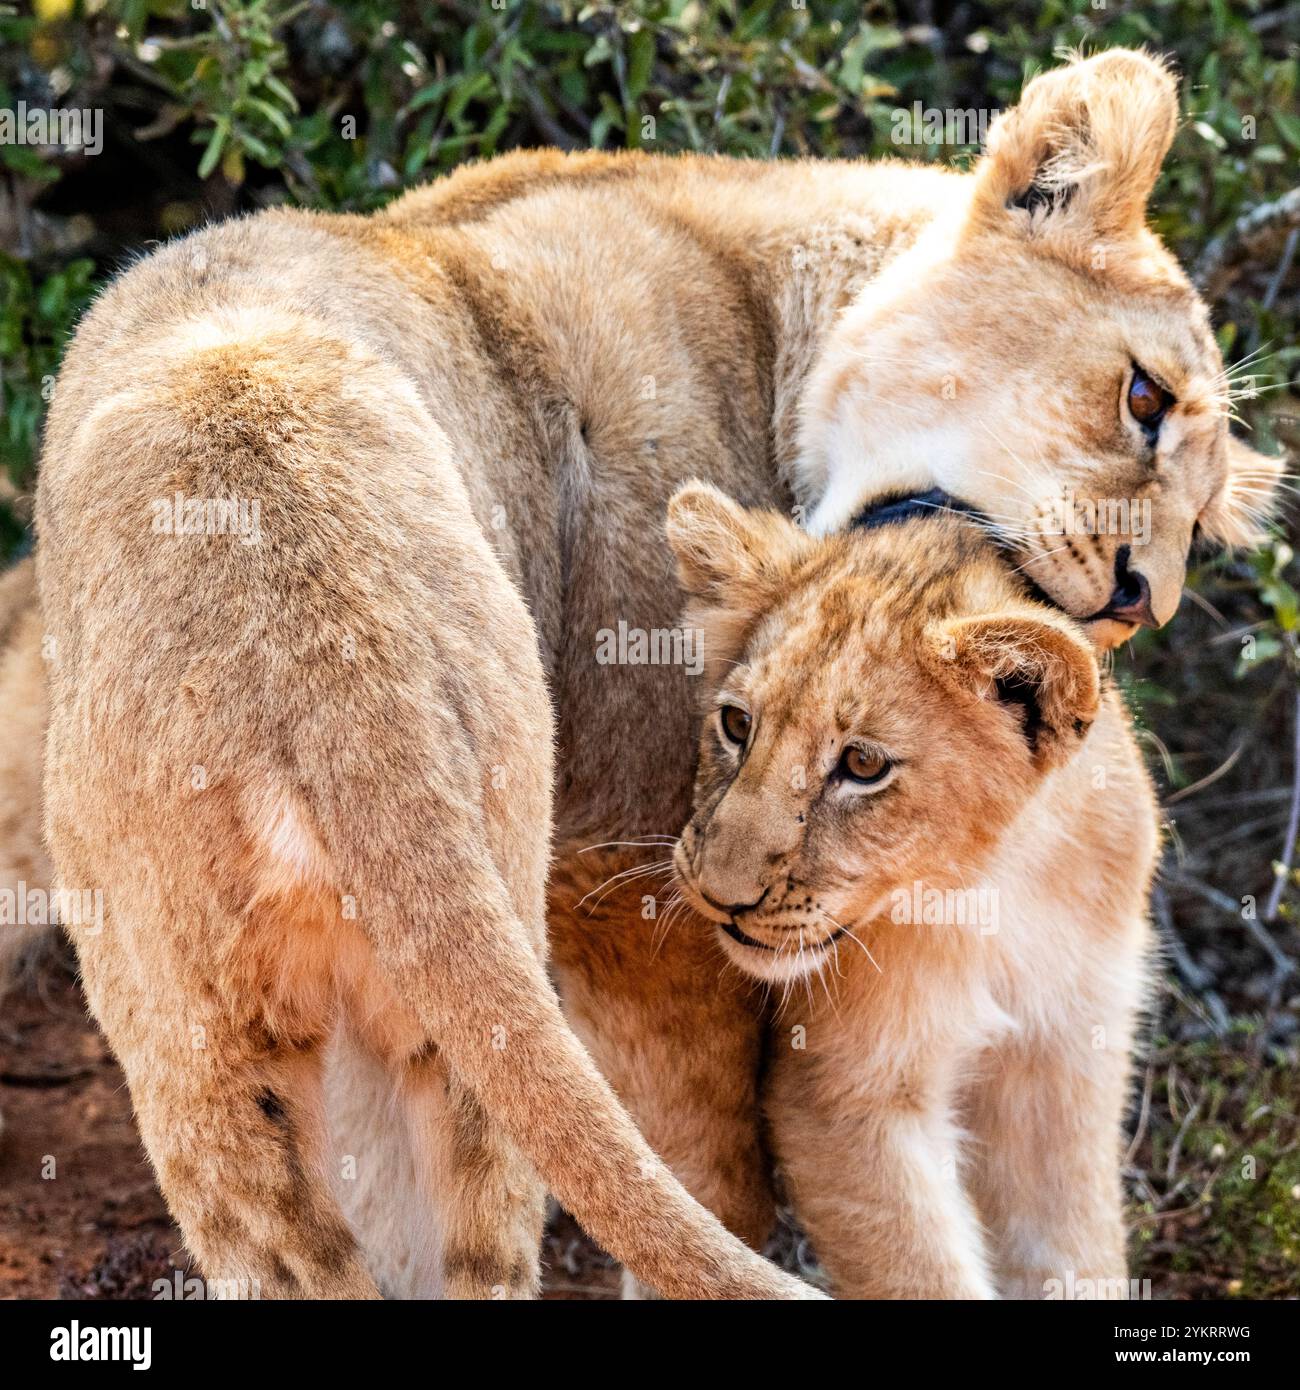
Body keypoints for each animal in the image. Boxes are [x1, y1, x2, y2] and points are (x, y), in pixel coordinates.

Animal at [664, 480, 1158, 1299]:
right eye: (736, 724)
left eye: (863, 765)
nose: (718, 895)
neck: (999, 891)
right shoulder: (843, 1094)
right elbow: (922, 1272)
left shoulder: (1067, 1053)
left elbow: (1076, 1250)